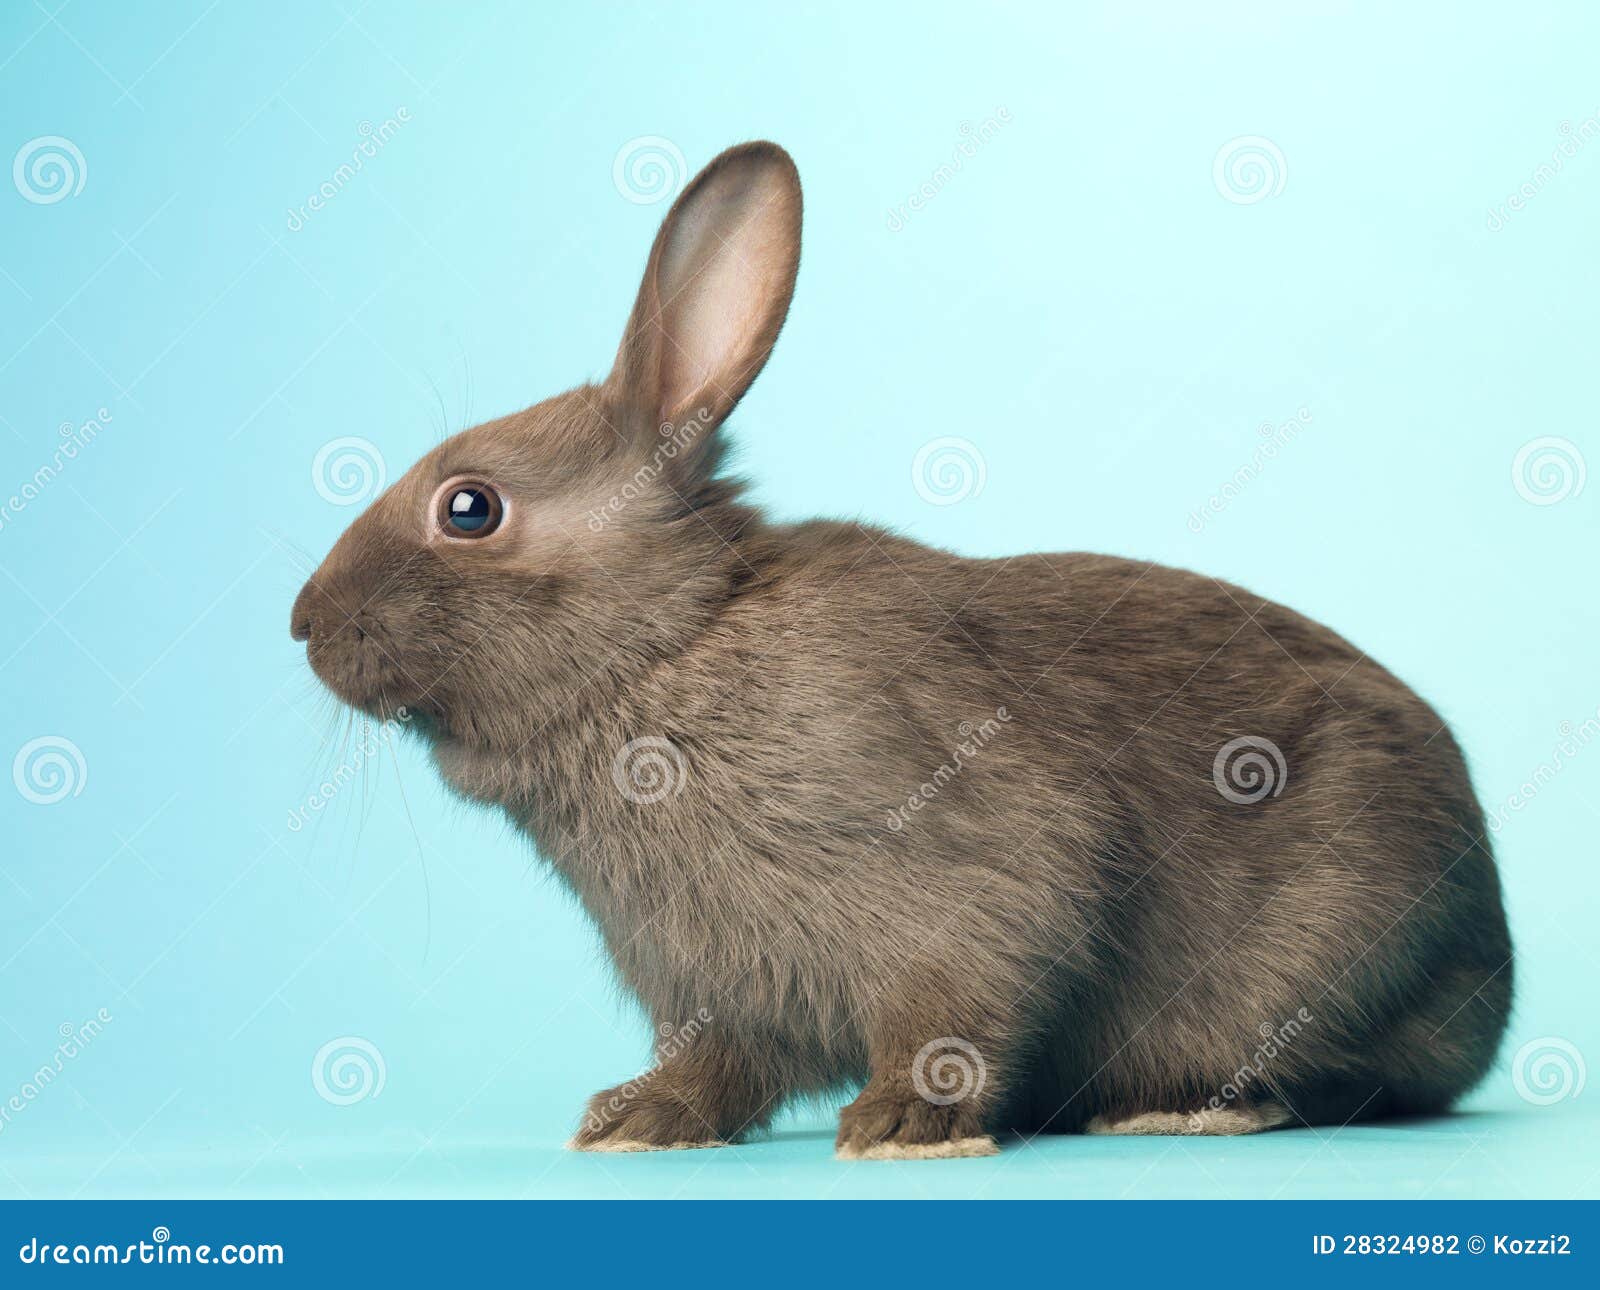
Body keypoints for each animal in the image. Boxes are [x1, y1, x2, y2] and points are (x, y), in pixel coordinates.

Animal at [290, 141, 1512, 1160]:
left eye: (469, 508)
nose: (302, 625)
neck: (669, 648)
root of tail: (1491, 965)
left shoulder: (974, 879)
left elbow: (960, 1009)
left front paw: (900, 1130)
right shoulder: (714, 988)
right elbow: (718, 1065)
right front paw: (638, 1123)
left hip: (1343, 953)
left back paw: (1181, 1109)